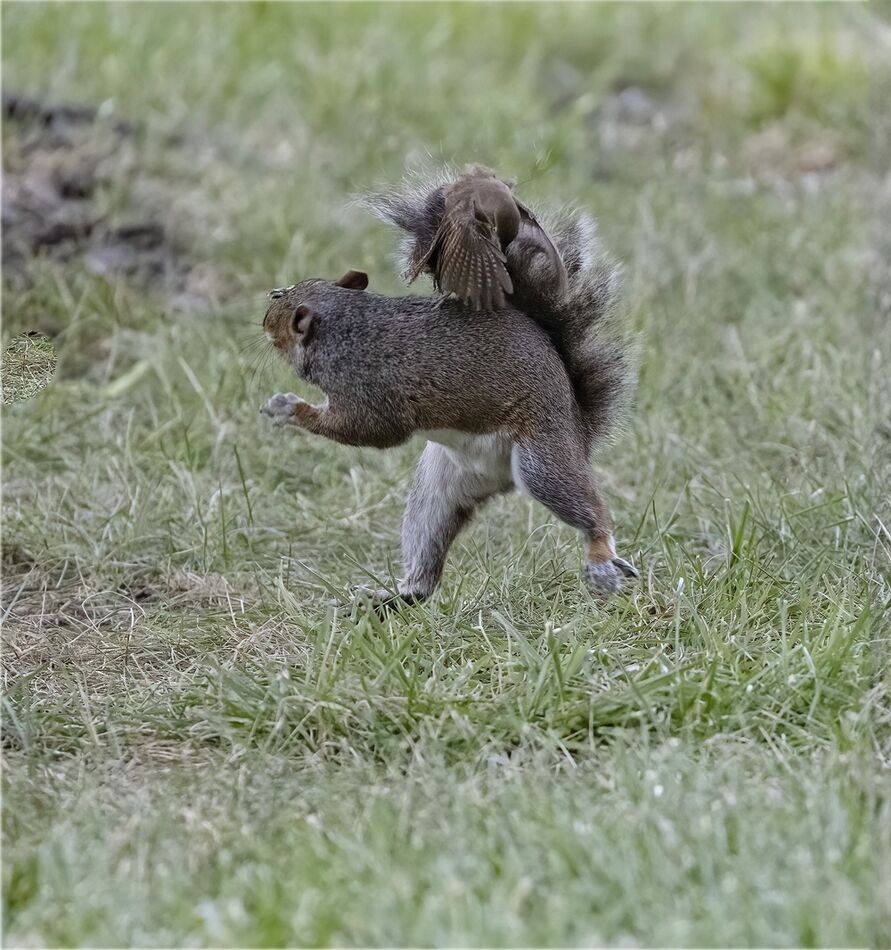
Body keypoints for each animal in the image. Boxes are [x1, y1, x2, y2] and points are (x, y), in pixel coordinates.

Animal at [261, 169, 638, 601]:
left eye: (280, 298)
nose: (263, 315)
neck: (350, 327)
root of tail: (578, 429)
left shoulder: (372, 388)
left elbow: (372, 431)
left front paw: (290, 408)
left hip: (542, 458)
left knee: (586, 508)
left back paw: (600, 556)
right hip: (439, 488)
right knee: (427, 551)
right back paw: (396, 595)